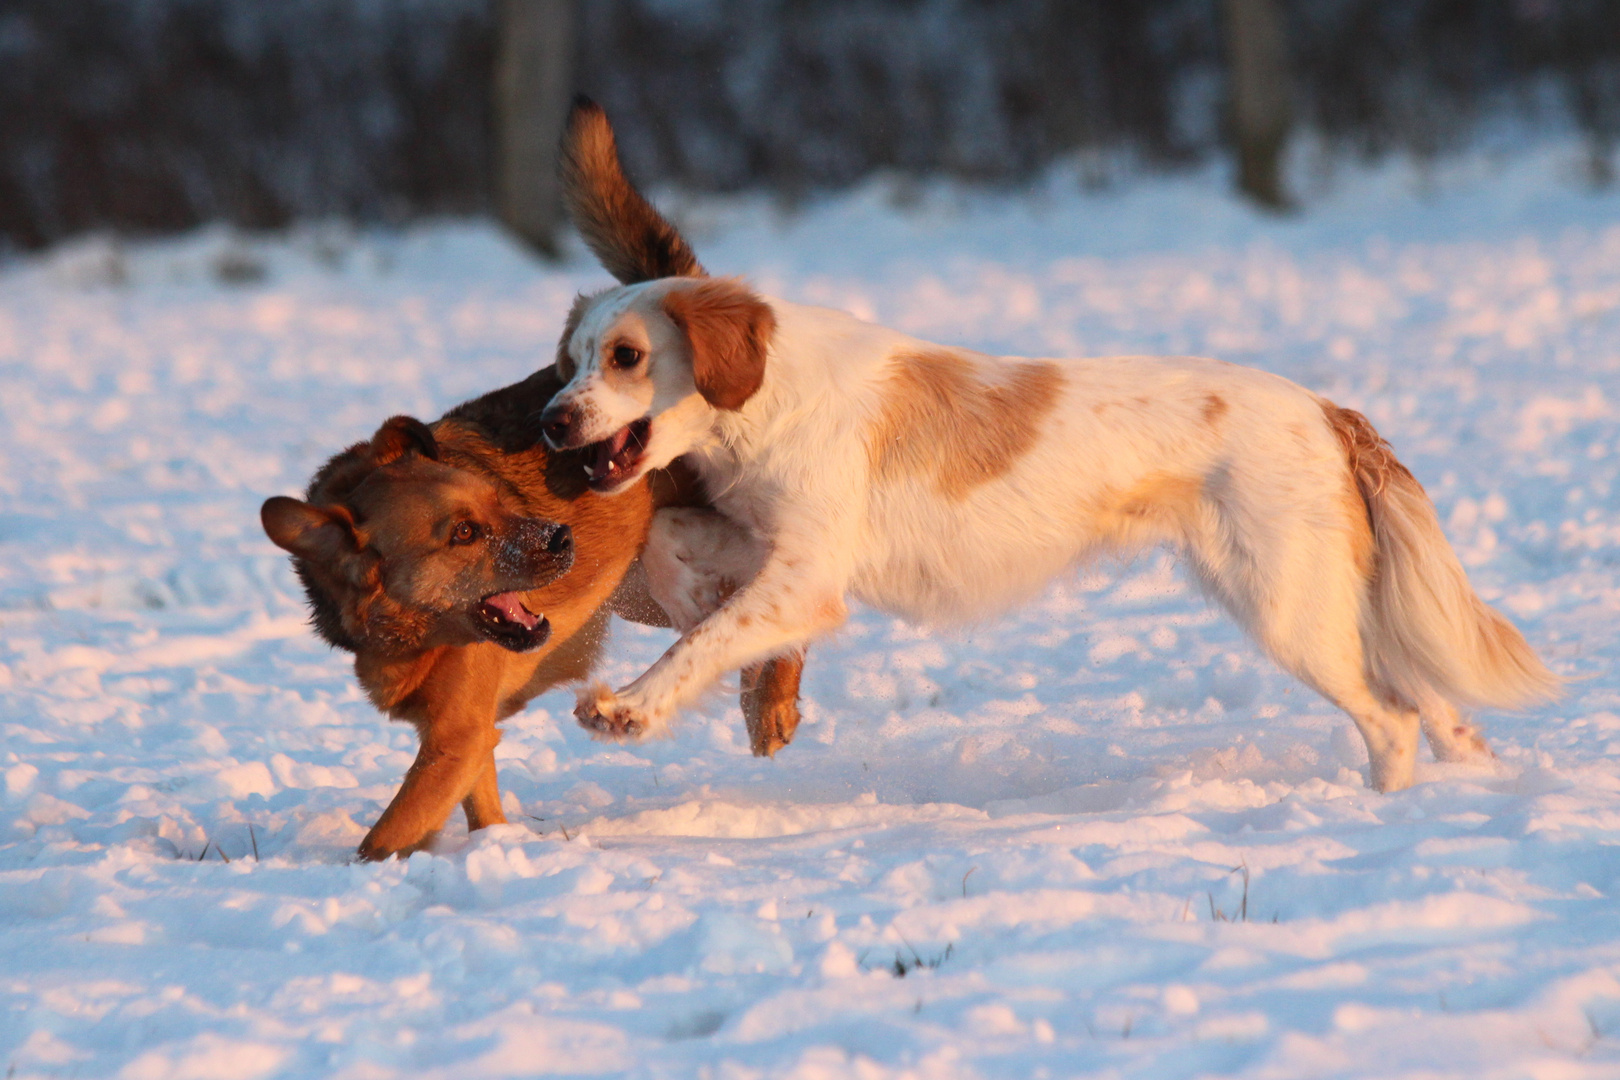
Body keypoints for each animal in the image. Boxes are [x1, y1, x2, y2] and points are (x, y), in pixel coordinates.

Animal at [260, 372, 810, 861]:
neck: (414, 635)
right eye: (463, 532)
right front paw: (495, 848)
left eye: (495, 500)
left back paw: (770, 707)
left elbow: (384, 838)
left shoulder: (454, 739)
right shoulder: (465, 735)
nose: (562, 538)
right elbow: (480, 809)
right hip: (642, 585)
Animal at [541, 101, 1555, 793]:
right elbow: (677, 561)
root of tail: (1325, 408)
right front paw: (719, 648)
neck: (765, 401)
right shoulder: (770, 546)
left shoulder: (807, 576)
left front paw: (629, 708)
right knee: (1429, 702)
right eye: (570, 360)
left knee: (1391, 720)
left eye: (627, 357)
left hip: (1287, 608)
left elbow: (704, 642)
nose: (551, 421)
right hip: (1317, 604)